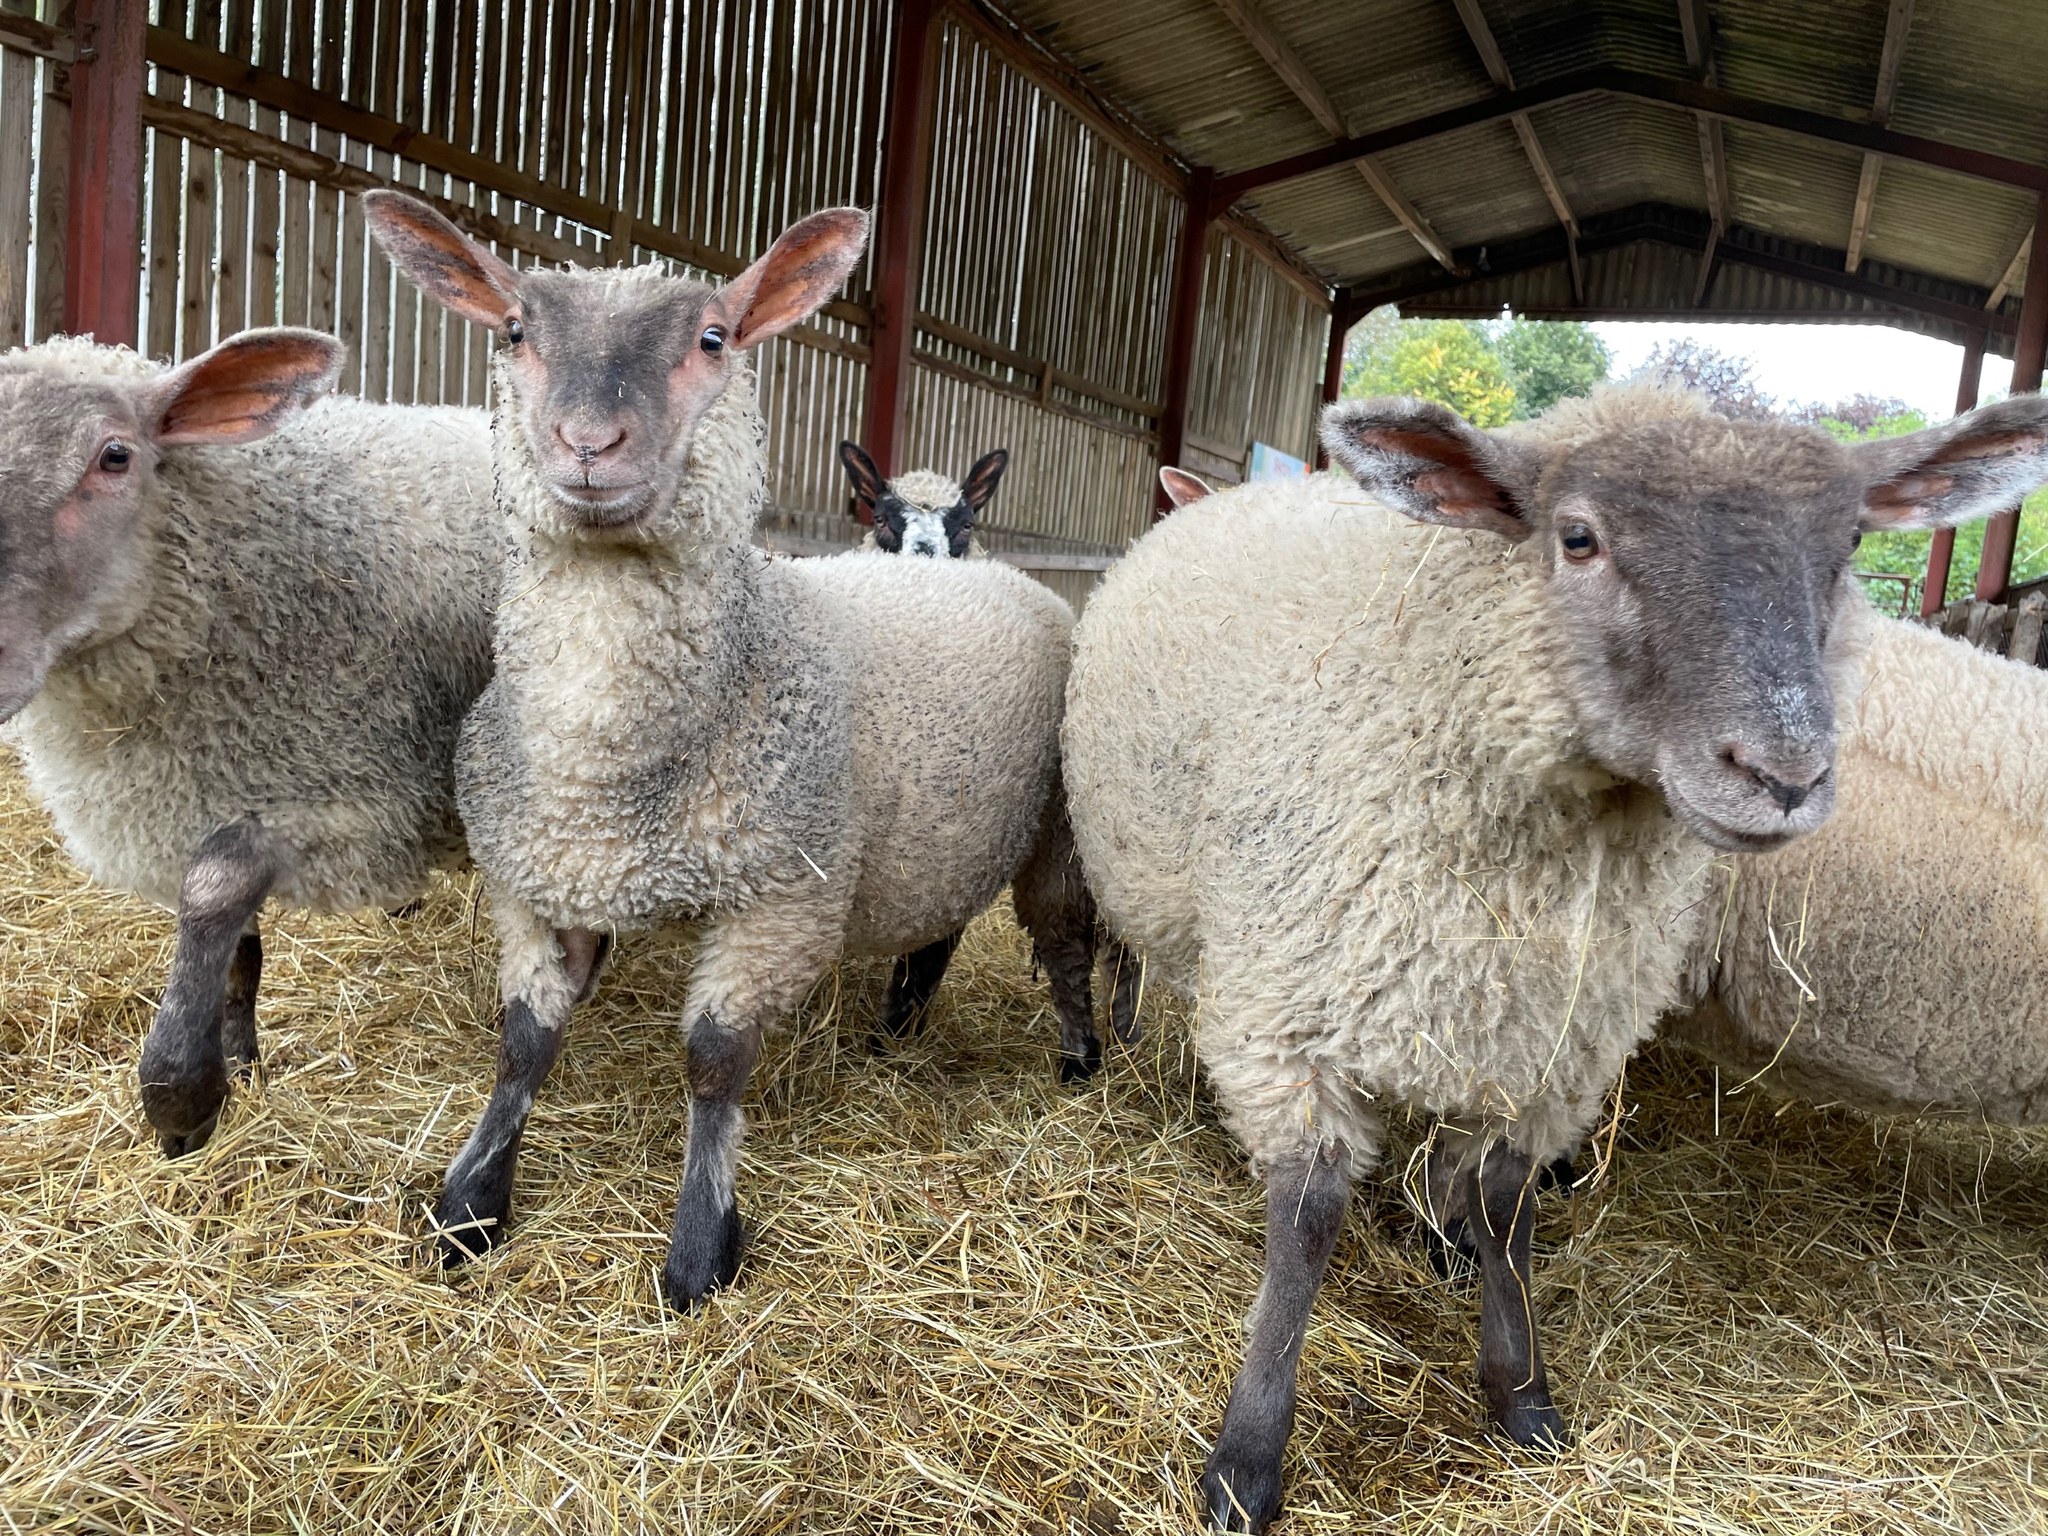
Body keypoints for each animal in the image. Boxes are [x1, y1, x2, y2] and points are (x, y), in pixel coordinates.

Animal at [0, 328, 498, 1156]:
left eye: (114, 456)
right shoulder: (208, 784)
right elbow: (239, 950)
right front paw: (237, 1060)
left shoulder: (338, 791)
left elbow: (212, 893)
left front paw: (182, 1098)